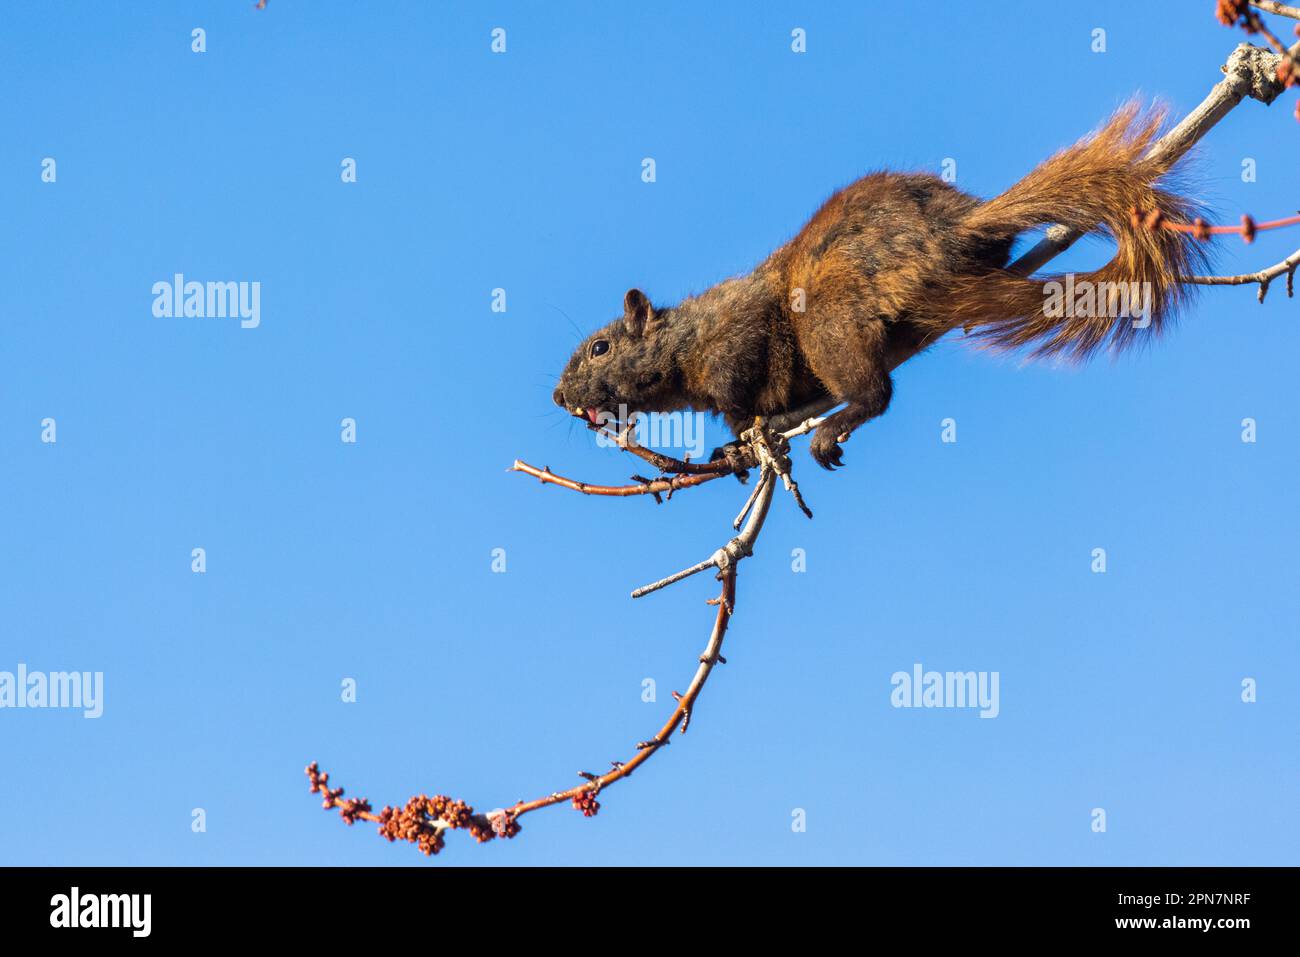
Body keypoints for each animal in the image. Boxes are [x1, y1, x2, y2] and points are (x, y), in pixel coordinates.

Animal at [553, 104, 1209, 470]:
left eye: (601, 348)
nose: (559, 398)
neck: (683, 343)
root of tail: (955, 228)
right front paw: (733, 450)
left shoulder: (736, 331)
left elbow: (741, 386)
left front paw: (744, 433)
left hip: (827, 317)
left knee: (876, 392)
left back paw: (835, 426)